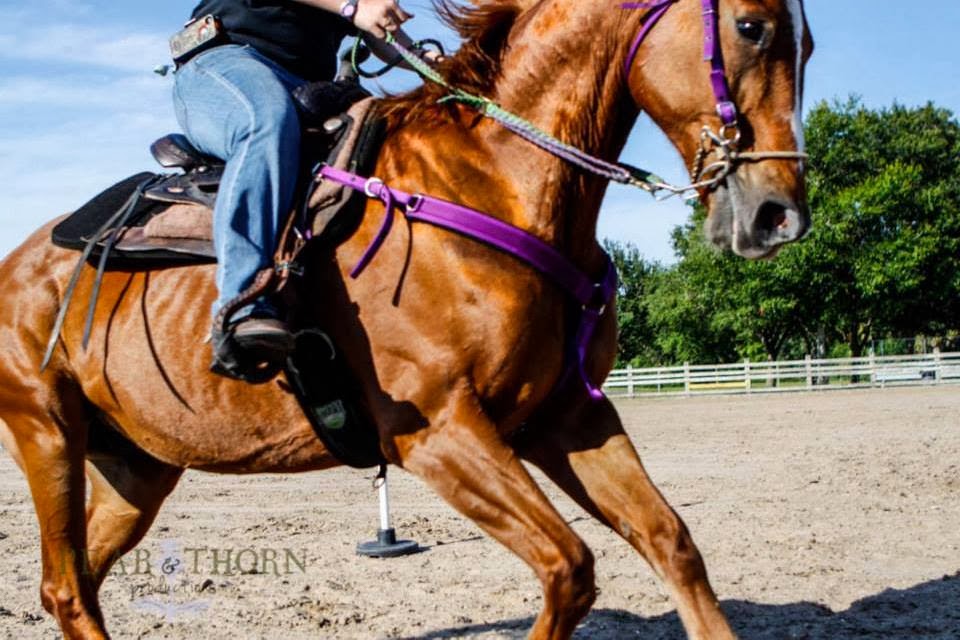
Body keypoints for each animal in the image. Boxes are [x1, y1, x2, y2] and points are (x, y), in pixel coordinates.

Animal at [0, 0, 812, 638]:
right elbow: (568, 567)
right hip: (48, 433)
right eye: (752, 26)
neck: (497, 182)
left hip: (138, 467)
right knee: (64, 586)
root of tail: (19, 265)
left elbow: (670, 540)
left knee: (79, 583)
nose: (780, 214)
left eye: (807, 44)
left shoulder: (565, 415)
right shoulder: (436, 430)